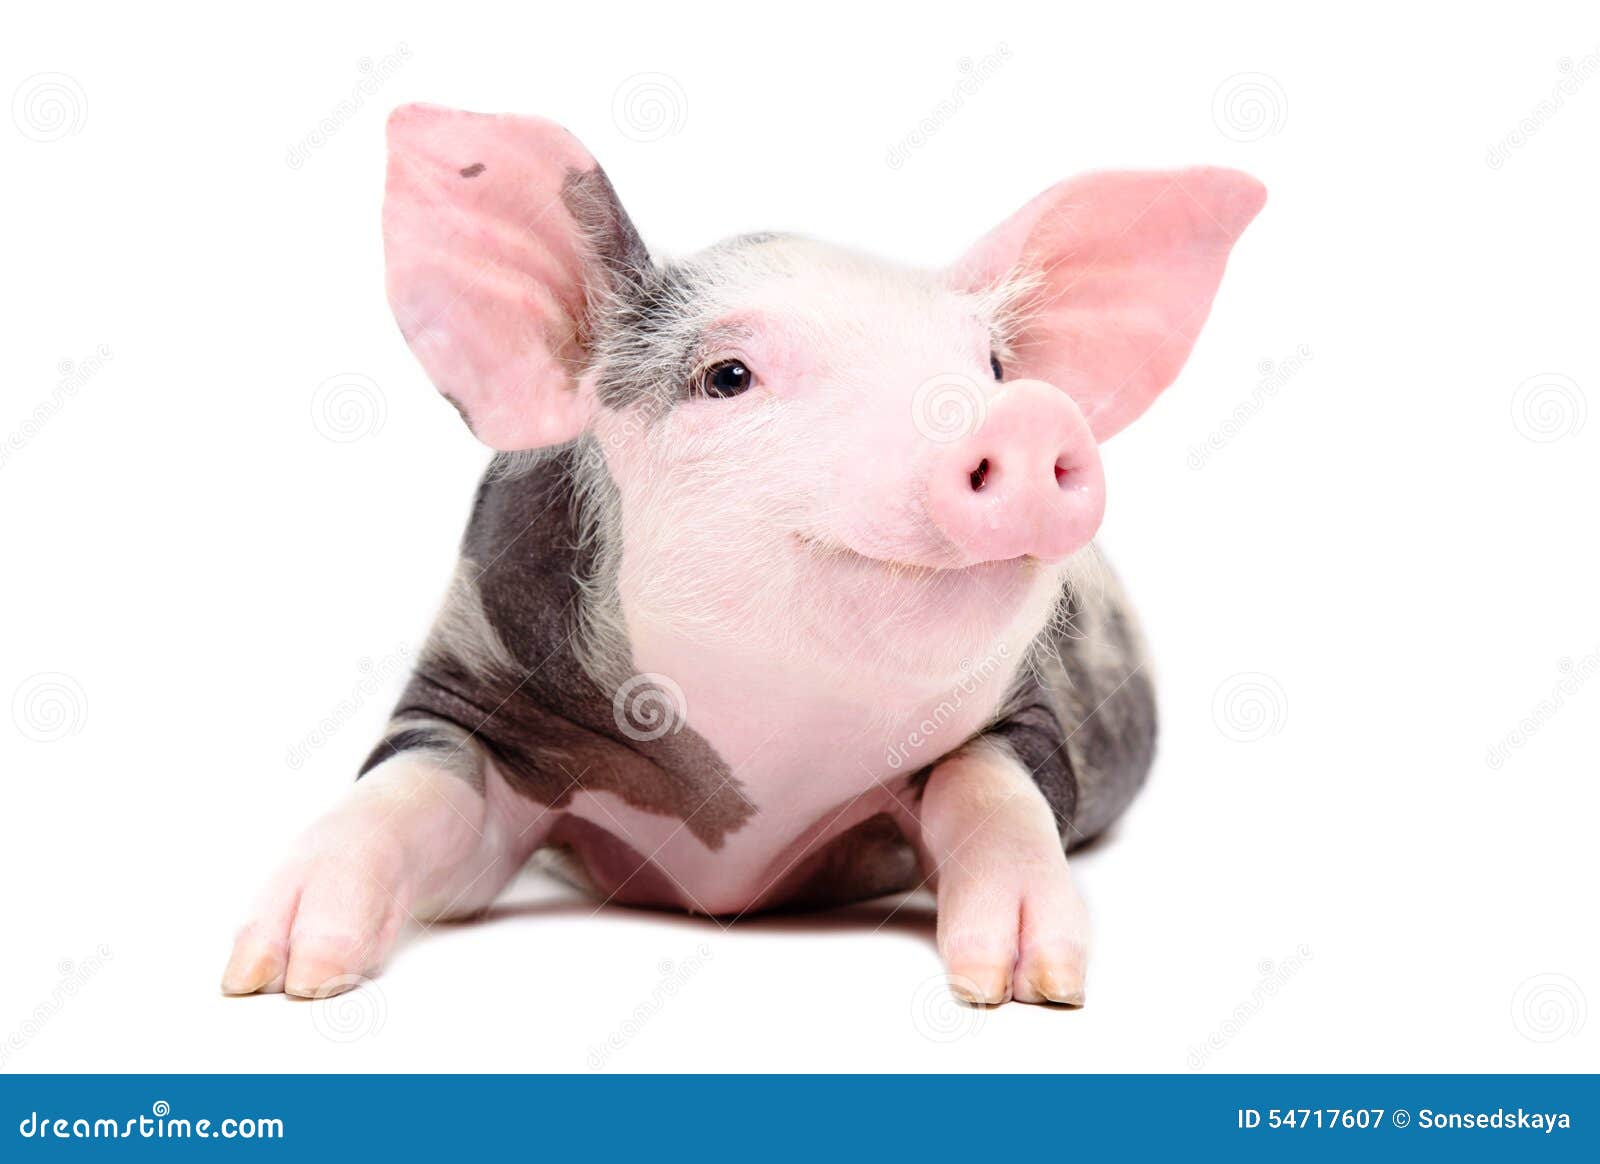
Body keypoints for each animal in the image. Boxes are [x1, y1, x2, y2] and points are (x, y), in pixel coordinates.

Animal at [223, 104, 1263, 1006]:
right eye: (726, 377)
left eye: (996, 369)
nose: (1024, 415)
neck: (739, 839)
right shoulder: (469, 694)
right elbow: (406, 786)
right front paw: (275, 970)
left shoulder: (1027, 720)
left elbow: (993, 791)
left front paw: (1027, 985)